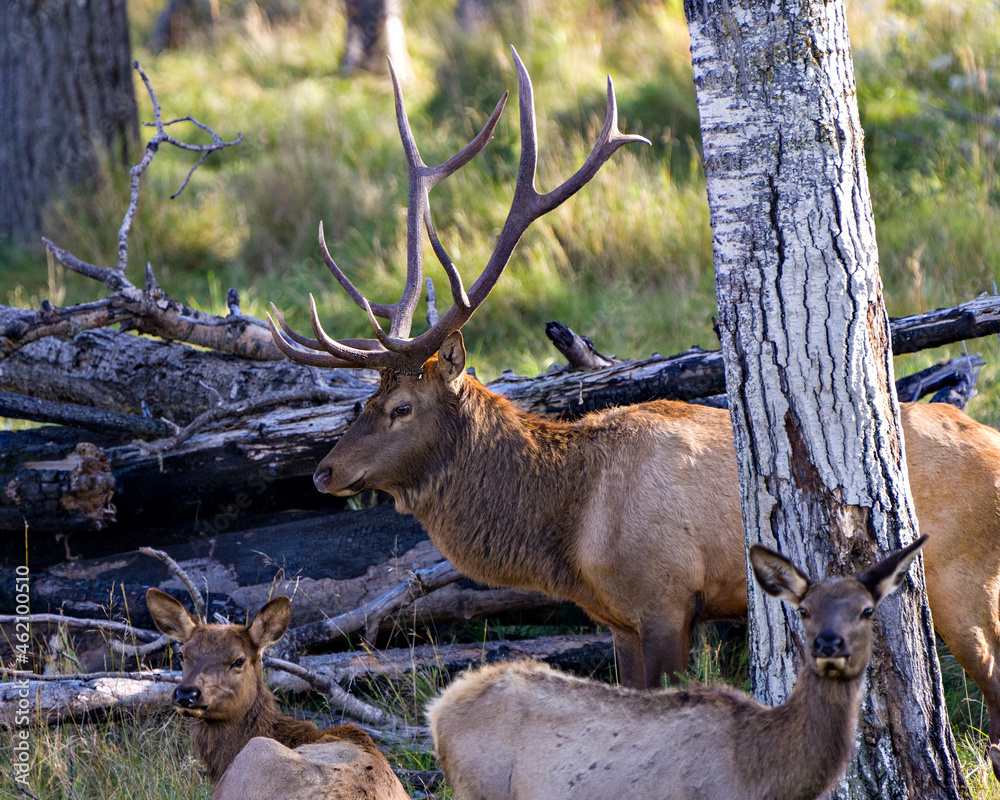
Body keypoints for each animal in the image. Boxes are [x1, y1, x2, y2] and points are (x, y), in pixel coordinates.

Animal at [267, 47, 1000, 767]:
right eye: (367, 398)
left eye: (401, 407)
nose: (324, 471)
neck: (572, 525)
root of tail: (989, 439)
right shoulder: (618, 619)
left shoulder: (667, 600)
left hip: (959, 577)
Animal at [426, 536, 928, 800]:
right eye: (804, 610)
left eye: (866, 610)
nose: (828, 643)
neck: (763, 778)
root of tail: (438, 708)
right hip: (478, 787)